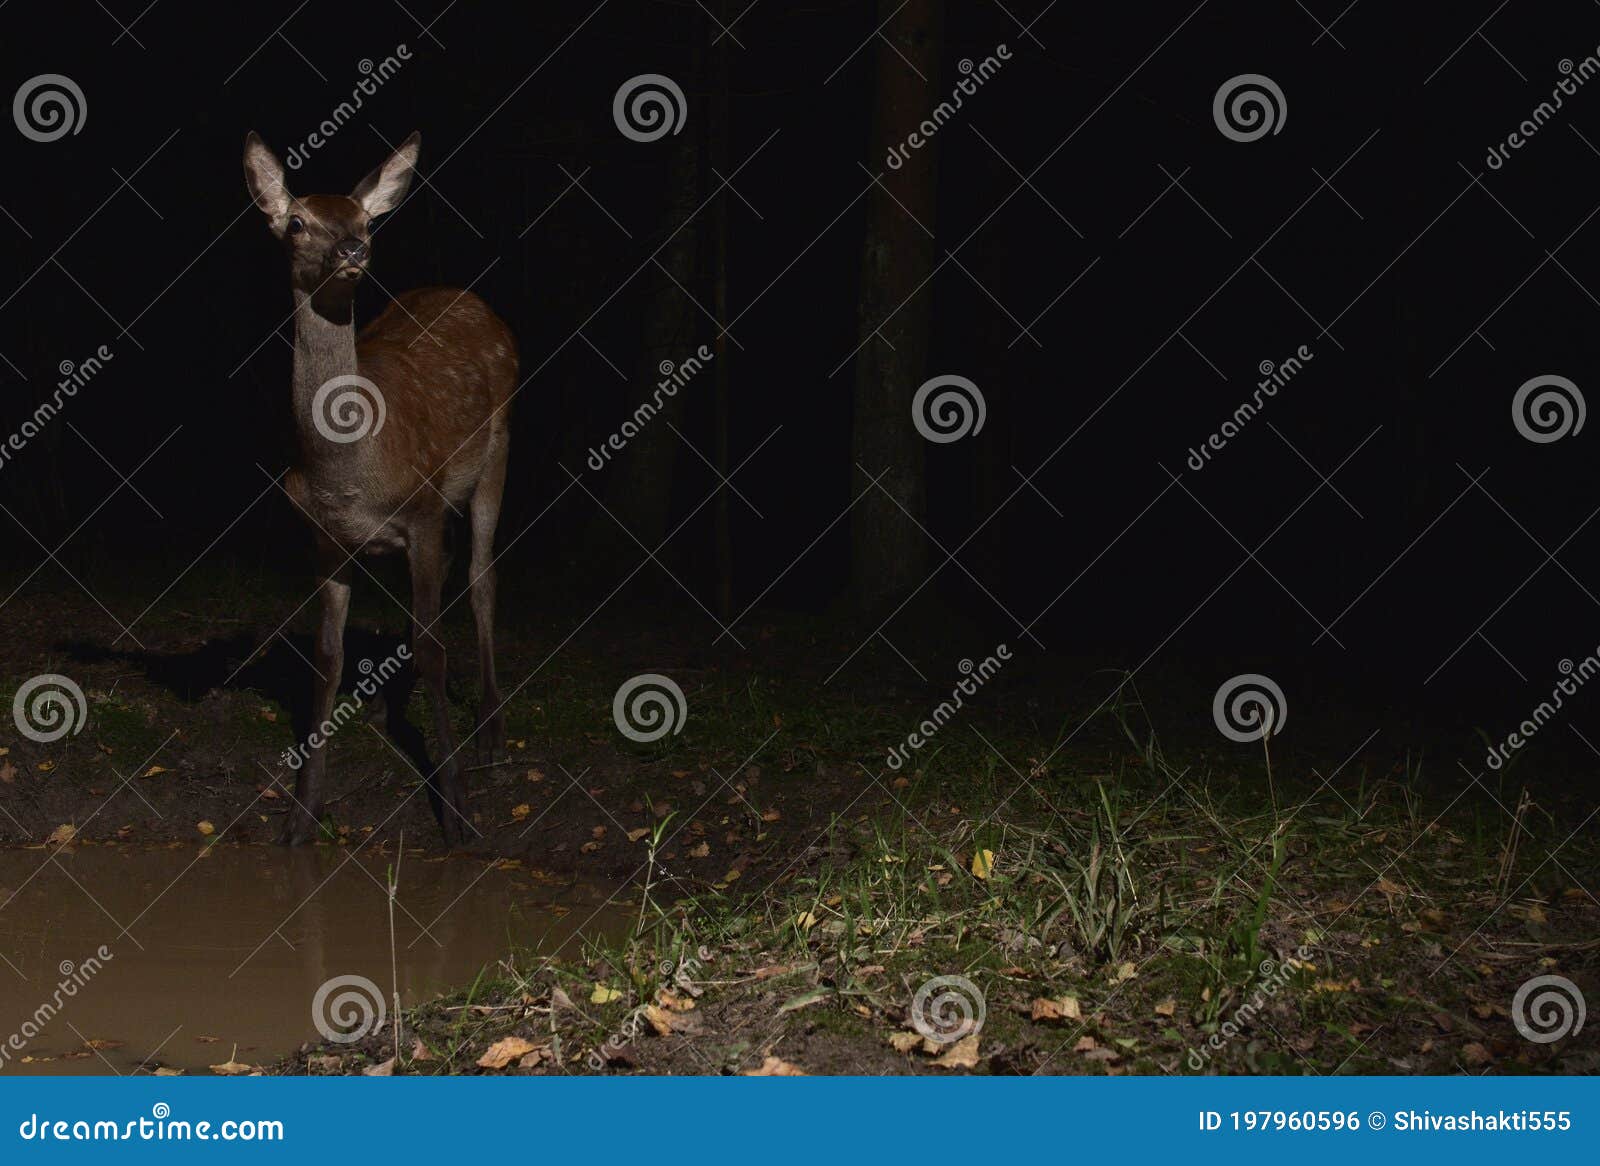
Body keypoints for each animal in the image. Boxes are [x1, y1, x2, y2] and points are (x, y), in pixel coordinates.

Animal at [243, 130, 516, 846]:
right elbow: (327, 658)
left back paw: (491, 731)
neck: (349, 476)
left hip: (497, 450)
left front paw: (457, 816)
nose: (351, 250)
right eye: (297, 222)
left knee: (481, 576)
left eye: (366, 222)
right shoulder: (324, 539)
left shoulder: (422, 512)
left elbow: (433, 647)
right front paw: (301, 818)